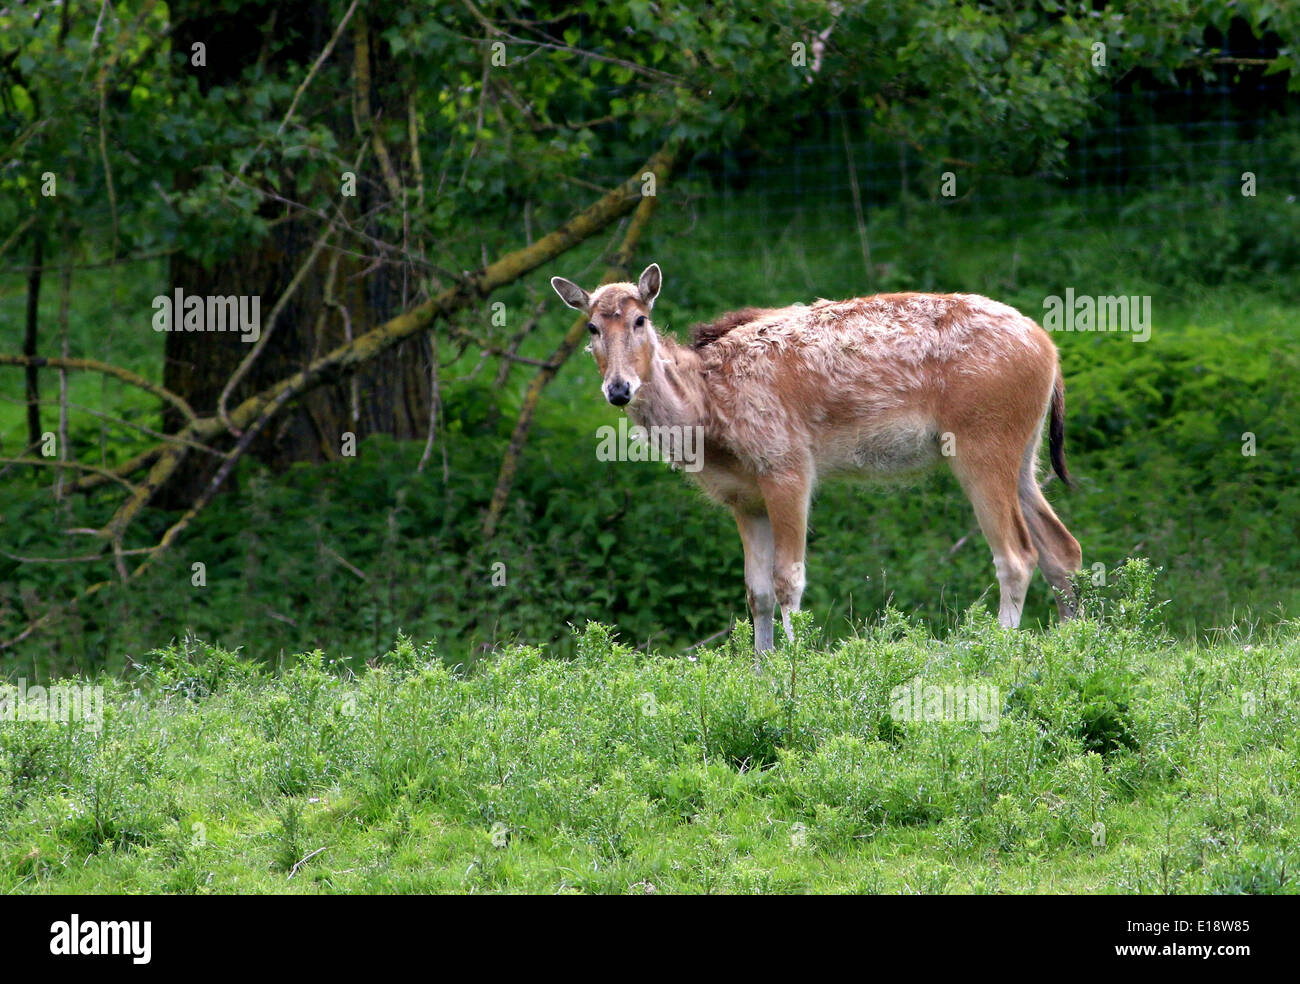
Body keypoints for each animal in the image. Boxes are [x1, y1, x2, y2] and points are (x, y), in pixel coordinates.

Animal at [551, 263, 1083, 654]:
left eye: (640, 320)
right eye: (592, 327)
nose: (619, 389)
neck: (708, 413)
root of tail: (1051, 351)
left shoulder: (786, 464)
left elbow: (788, 579)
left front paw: (796, 665)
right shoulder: (742, 498)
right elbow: (756, 591)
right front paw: (761, 669)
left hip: (983, 439)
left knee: (1016, 555)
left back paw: (996, 649)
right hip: (1025, 453)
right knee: (1063, 548)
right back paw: (1073, 641)